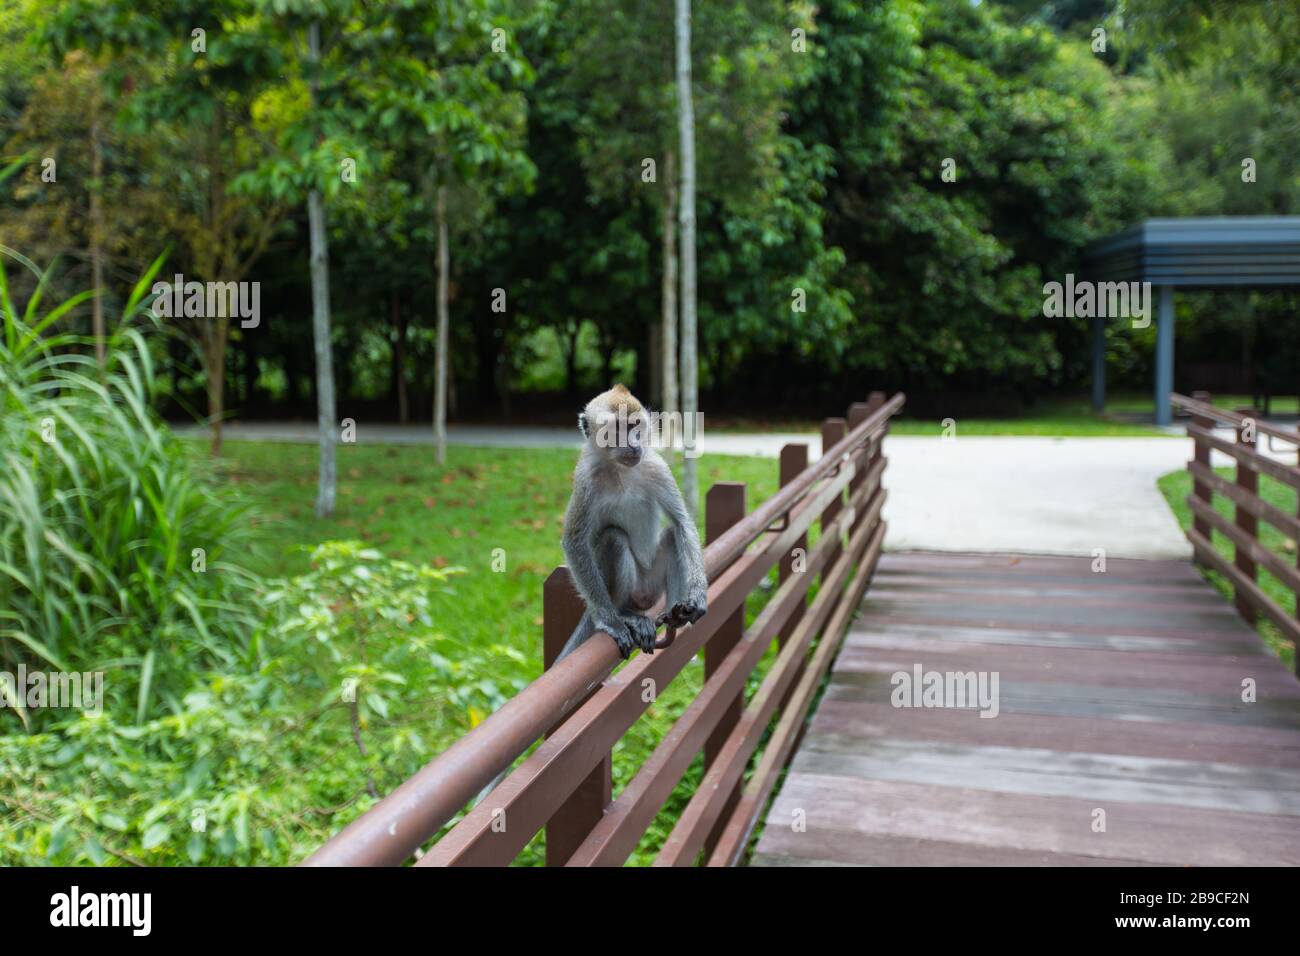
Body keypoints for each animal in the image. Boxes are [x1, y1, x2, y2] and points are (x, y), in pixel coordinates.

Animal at [556, 384, 709, 661]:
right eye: (617, 428)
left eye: (635, 425)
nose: (635, 444)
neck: (619, 470)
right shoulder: (585, 480)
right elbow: (574, 541)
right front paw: (611, 622)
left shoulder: (656, 466)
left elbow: (682, 523)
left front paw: (697, 596)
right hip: (625, 590)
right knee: (614, 538)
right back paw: (625, 615)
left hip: (652, 583)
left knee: (672, 535)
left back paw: (674, 613)